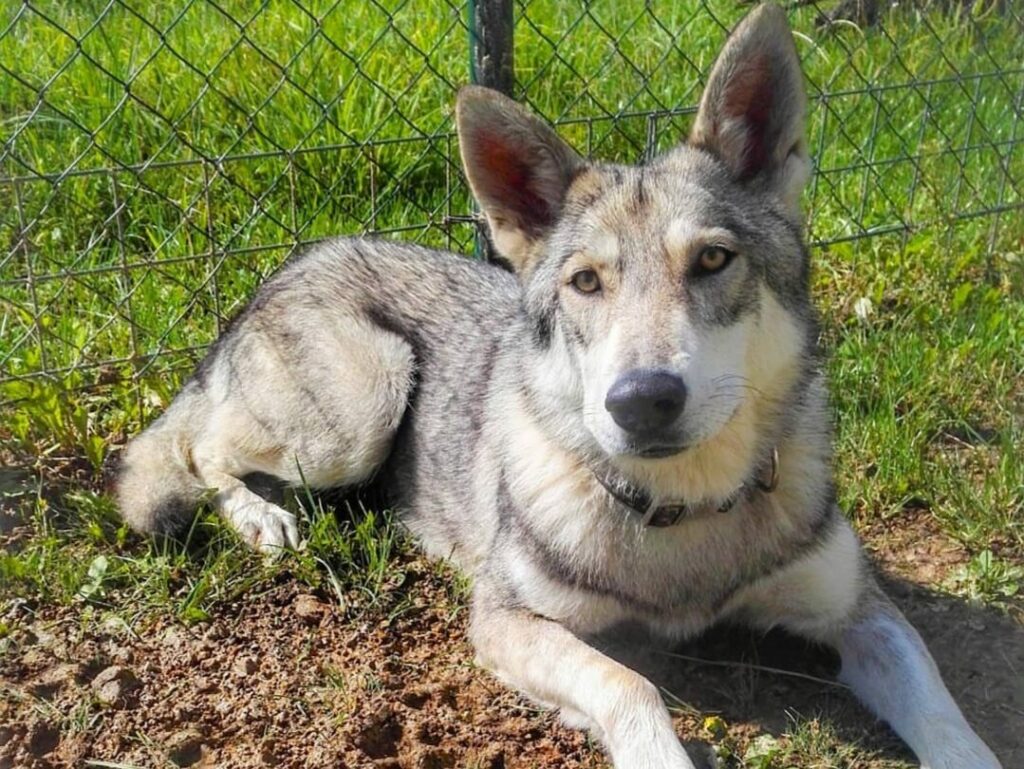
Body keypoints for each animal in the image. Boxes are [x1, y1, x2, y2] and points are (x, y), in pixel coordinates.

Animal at [114, 6, 1001, 768]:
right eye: (586, 282)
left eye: (713, 259)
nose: (641, 399)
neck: (684, 519)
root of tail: (290, 264)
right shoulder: (506, 620)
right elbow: (632, 684)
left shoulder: (863, 612)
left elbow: (950, 717)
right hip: (362, 407)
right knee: (192, 448)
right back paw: (261, 517)